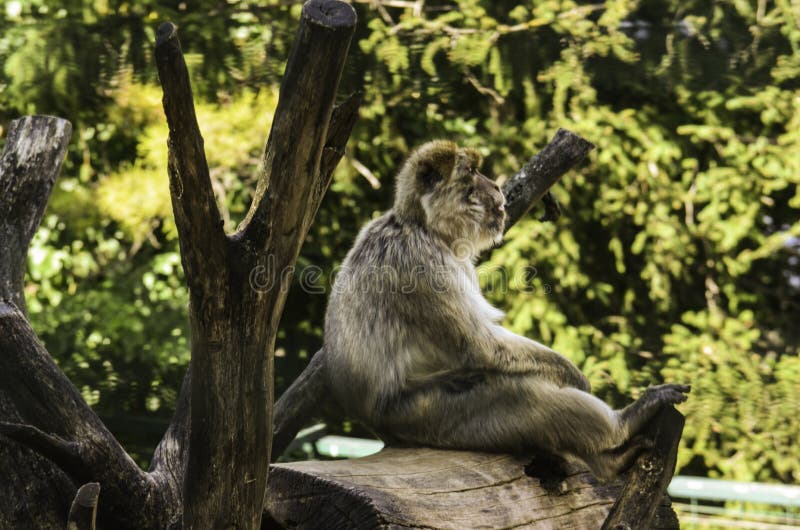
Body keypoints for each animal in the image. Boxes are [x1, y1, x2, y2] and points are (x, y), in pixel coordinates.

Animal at [324, 140, 689, 480]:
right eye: (472, 173)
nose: (495, 186)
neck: (423, 226)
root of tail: (379, 426)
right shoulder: (423, 265)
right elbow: (481, 346)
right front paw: (575, 375)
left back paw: (610, 460)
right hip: (429, 415)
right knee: (522, 395)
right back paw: (622, 425)